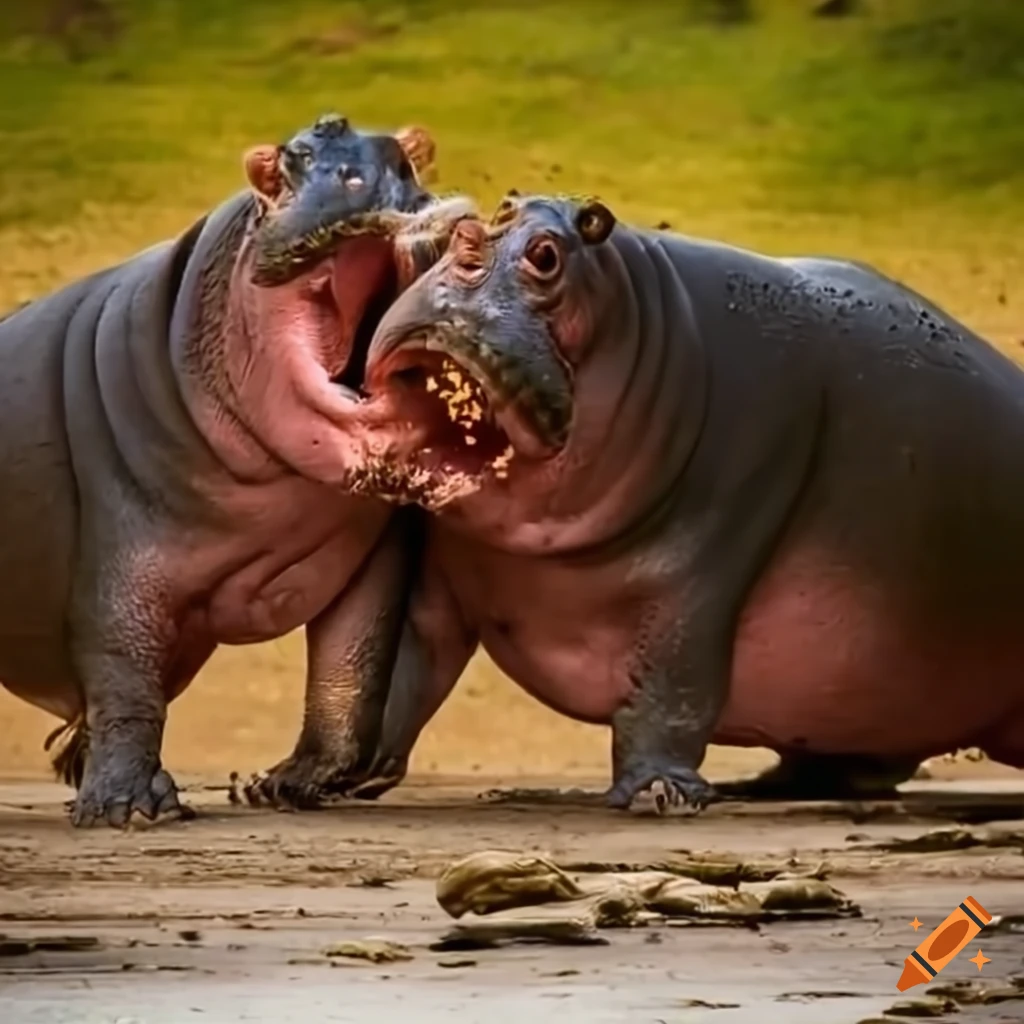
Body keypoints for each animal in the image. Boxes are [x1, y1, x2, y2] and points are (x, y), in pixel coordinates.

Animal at [0, 112, 472, 826]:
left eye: (410, 153)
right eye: (283, 162)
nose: (374, 167)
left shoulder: (372, 558)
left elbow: (351, 671)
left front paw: (280, 785)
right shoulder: (118, 551)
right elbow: (123, 670)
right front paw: (131, 811)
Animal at [332, 192, 1024, 811]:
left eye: (546, 256)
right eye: (461, 235)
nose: (468, 258)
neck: (635, 310)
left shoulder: (704, 565)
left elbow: (673, 688)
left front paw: (659, 794)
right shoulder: (439, 576)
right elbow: (405, 667)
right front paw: (328, 778)